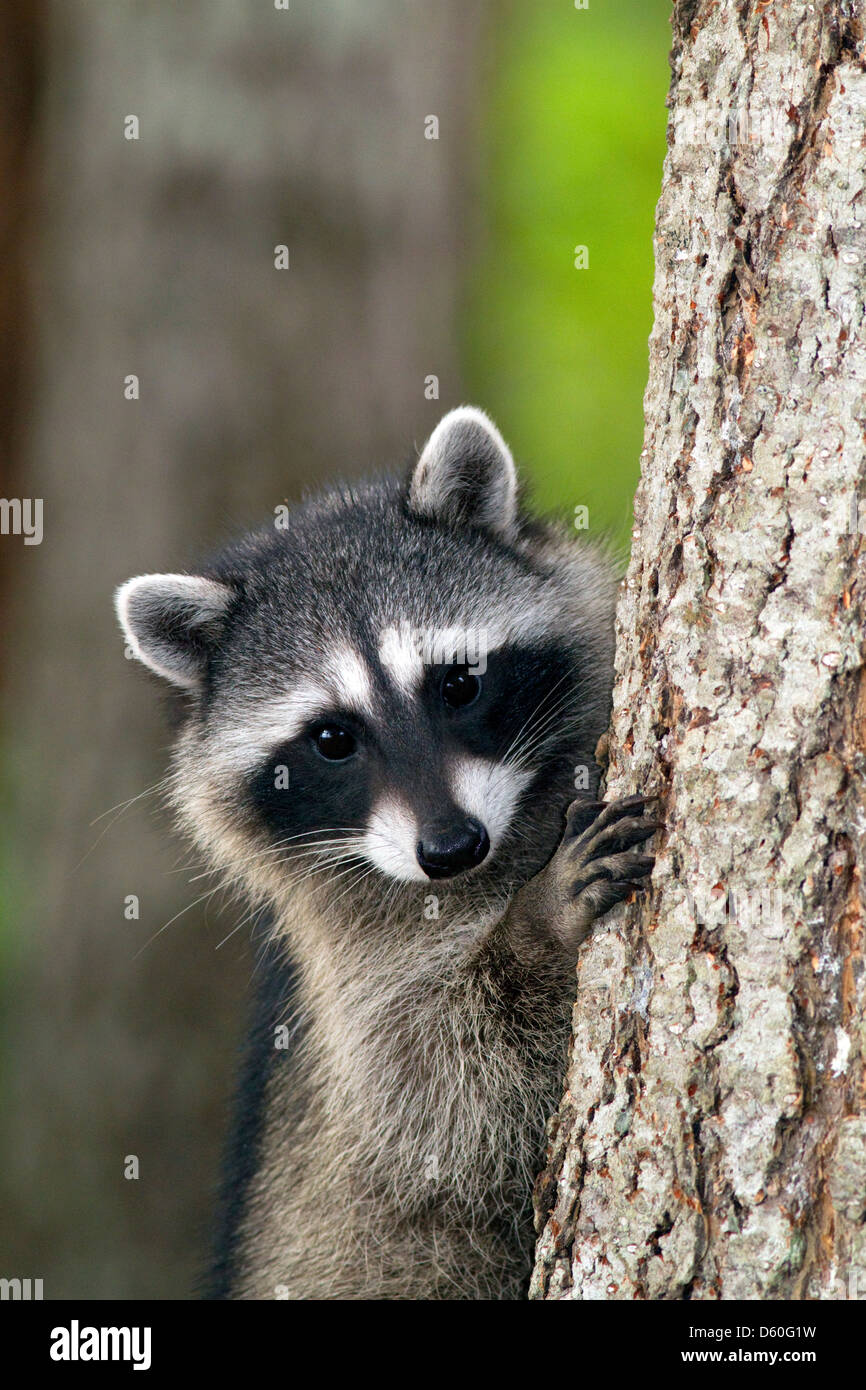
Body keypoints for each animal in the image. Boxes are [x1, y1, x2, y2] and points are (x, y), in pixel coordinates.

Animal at [116, 405, 656, 1301]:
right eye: (332, 739)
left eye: (459, 683)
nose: (452, 847)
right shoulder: (356, 971)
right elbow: (447, 1100)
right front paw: (537, 928)